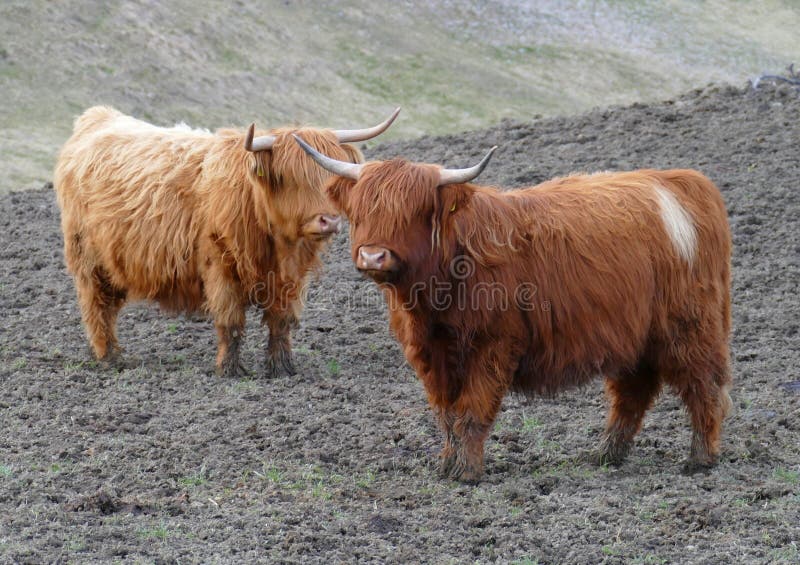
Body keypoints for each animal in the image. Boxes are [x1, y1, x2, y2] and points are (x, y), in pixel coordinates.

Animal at [53, 106, 398, 378]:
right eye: (291, 178)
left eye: (330, 179)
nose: (329, 220)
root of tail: (97, 117)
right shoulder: (220, 268)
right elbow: (231, 321)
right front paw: (230, 370)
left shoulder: (289, 278)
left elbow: (281, 321)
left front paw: (282, 368)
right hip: (88, 259)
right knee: (97, 307)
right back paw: (110, 357)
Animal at [294, 135, 732, 483]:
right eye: (361, 211)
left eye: (414, 212)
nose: (373, 255)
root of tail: (676, 181)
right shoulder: (431, 354)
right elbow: (446, 414)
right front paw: (447, 465)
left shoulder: (494, 345)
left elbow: (472, 410)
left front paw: (468, 473)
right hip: (634, 335)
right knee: (633, 391)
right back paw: (606, 455)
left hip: (688, 326)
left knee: (704, 385)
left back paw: (700, 458)